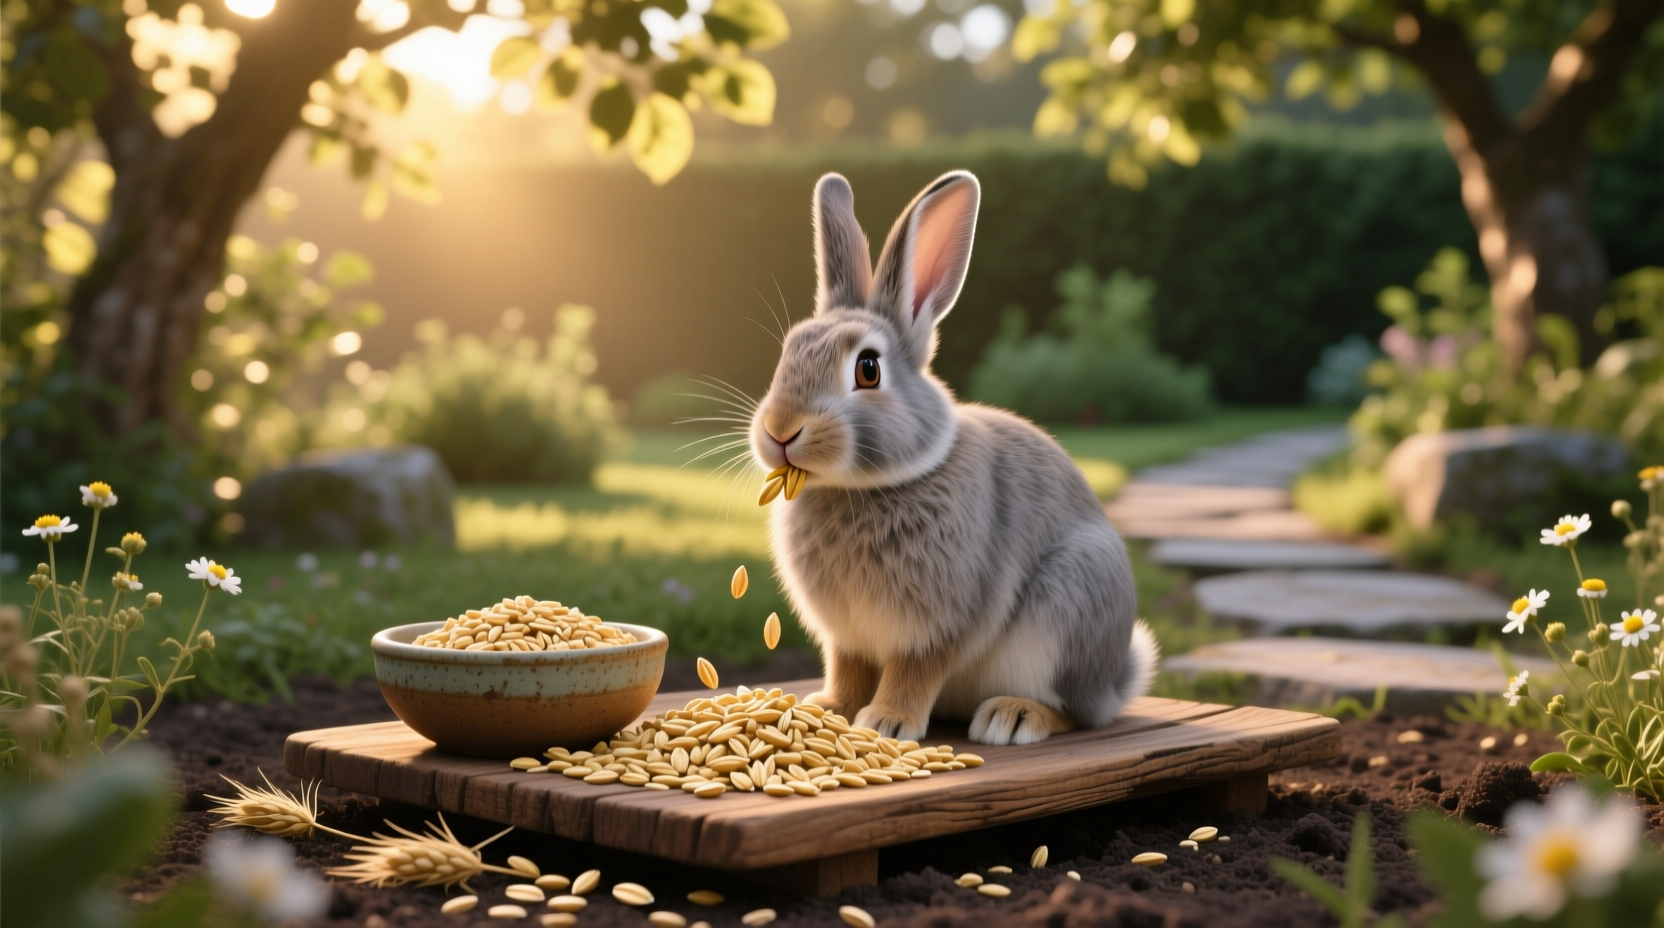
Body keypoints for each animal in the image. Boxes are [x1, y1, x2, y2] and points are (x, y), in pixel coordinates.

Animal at [748, 169, 1159, 746]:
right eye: (788, 352)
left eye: (868, 368)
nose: (780, 430)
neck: (862, 487)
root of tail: (1113, 682)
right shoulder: (846, 637)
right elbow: (847, 668)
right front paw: (829, 710)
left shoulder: (942, 622)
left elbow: (916, 669)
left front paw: (887, 722)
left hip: (1071, 604)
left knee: (1075, 710)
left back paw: (1013, 717)